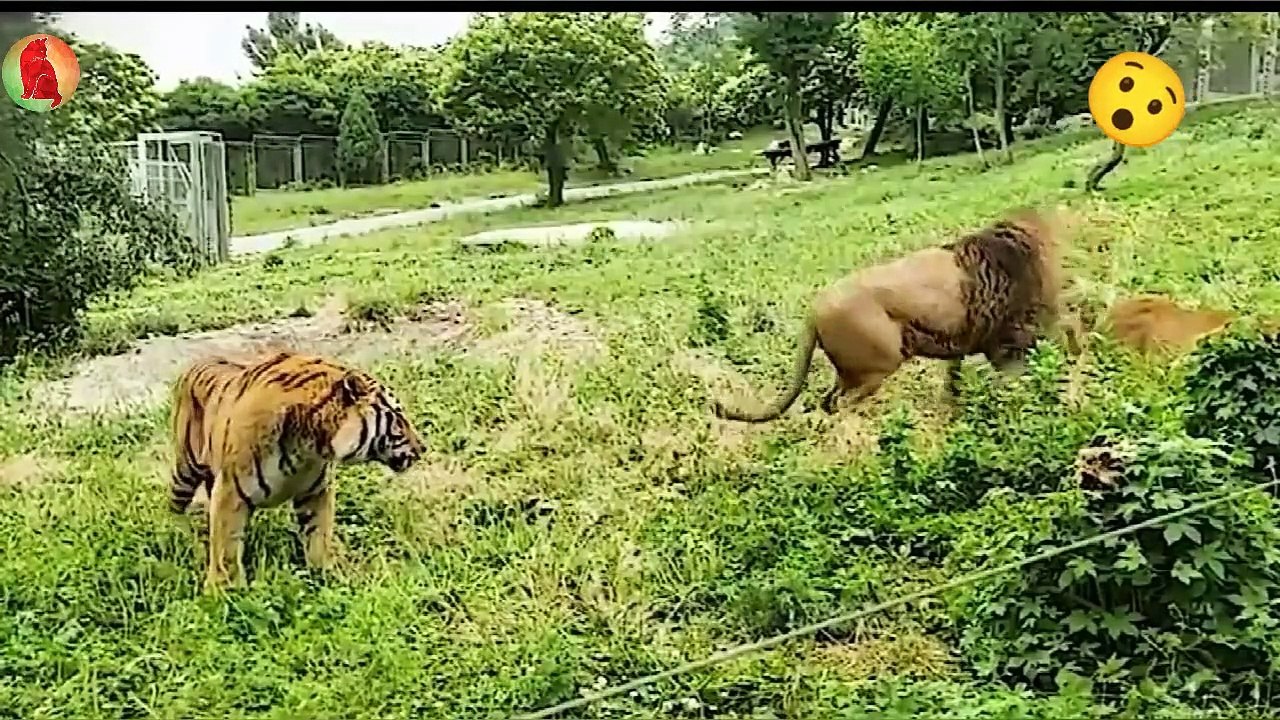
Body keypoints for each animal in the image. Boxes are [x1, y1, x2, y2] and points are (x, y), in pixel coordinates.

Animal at [169, 349, 425, 590]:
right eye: (398, 418)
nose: (423, 447)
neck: (312, 442)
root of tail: (196, 363)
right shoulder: (231, 490)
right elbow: (226, 547)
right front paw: (223, 590)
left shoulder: (316, 491)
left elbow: (319, 534)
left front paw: (327, 574)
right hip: (186, 467)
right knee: (175, 504)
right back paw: (181, 535)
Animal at [713, 207, 1080, 423]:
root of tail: (813, 311)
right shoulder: (1013, 336)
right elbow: (1064, 335)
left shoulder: (985, 341)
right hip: (877, 365)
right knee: (841, 406)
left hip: (850, 373)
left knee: (826, 402)